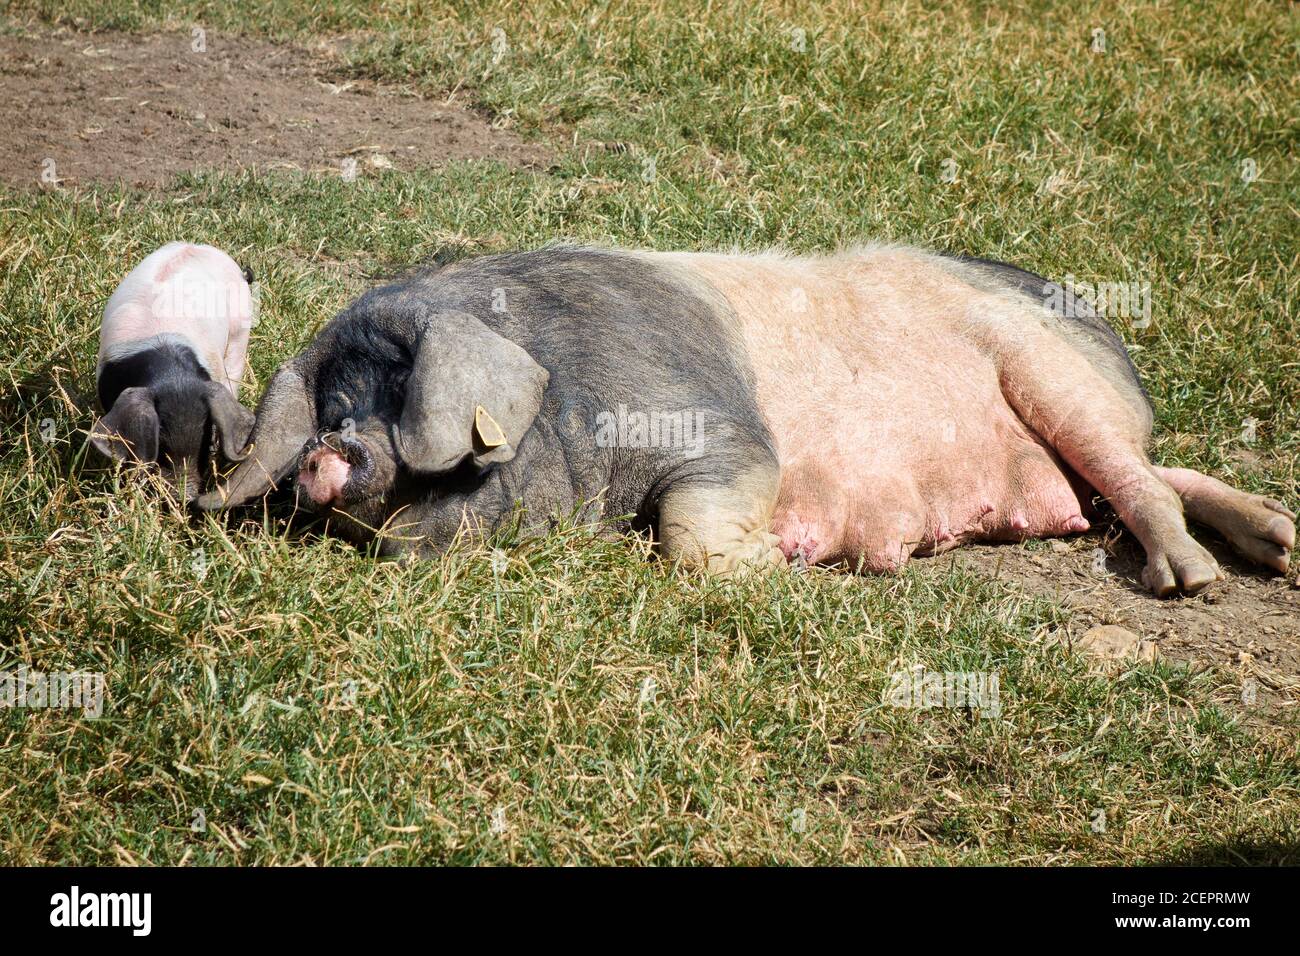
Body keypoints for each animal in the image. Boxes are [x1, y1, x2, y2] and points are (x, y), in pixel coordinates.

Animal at [197, 245, 1295, 596]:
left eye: (398, 401)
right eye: (336, 403)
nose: (329, 455)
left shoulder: (722, 434)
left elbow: (693, 529)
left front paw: (787, 567)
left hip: (1054, 376)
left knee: (1140, 475)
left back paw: (1195, 581)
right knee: (1134, 479)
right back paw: (1277, 546)